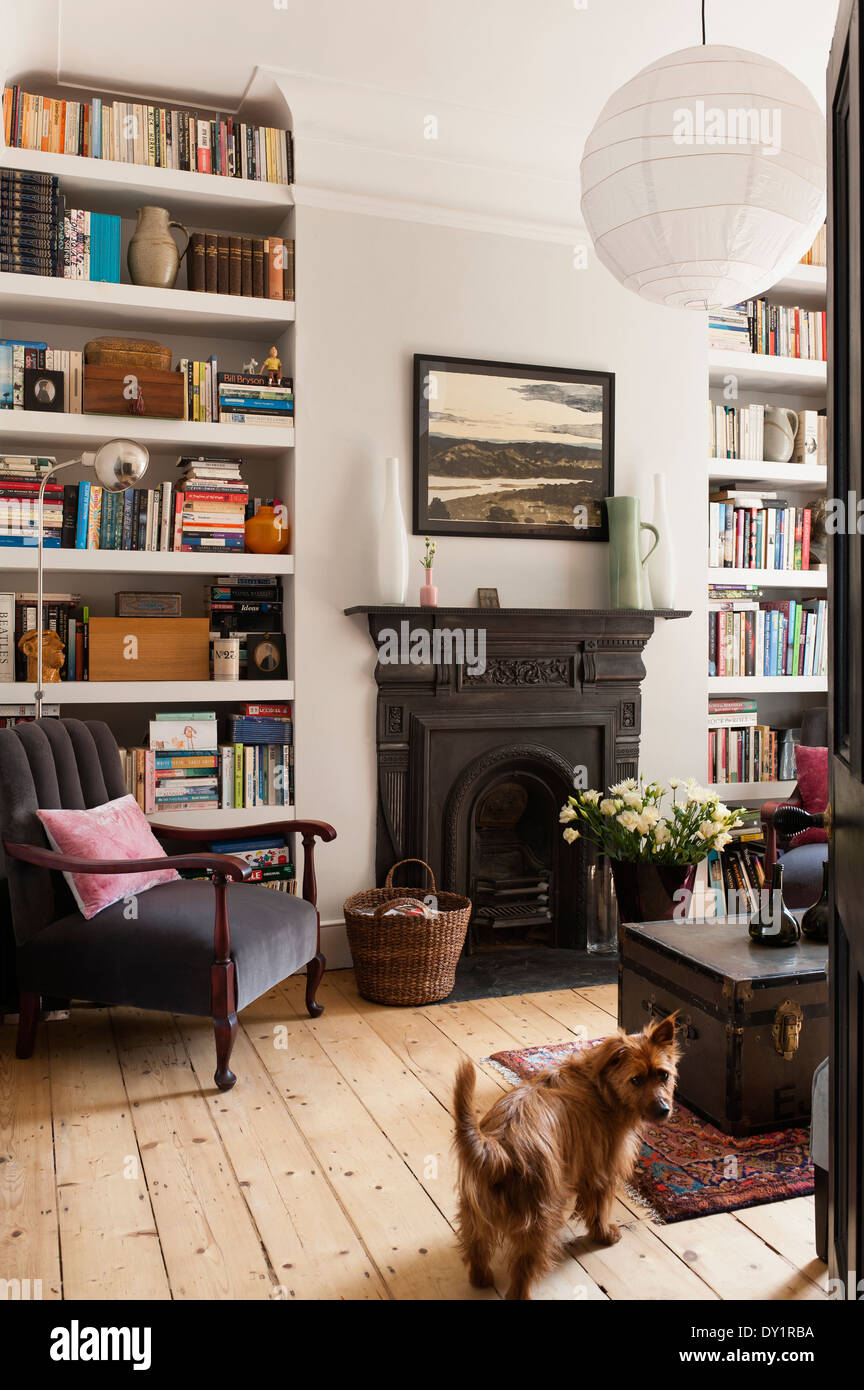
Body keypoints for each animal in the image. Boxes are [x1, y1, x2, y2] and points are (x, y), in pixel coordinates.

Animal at [450, 1017, 680, 1295]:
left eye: (663, 1074)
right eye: (636, 1080)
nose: (664, 1110)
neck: (601, 1087)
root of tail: (498, 1150)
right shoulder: (601, 1172)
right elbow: (599, 1211)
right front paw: (604, 1235)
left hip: (475, 1214)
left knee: (477, 1247)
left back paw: (481, 1278)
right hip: (540, 1223)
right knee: (521, 1275)